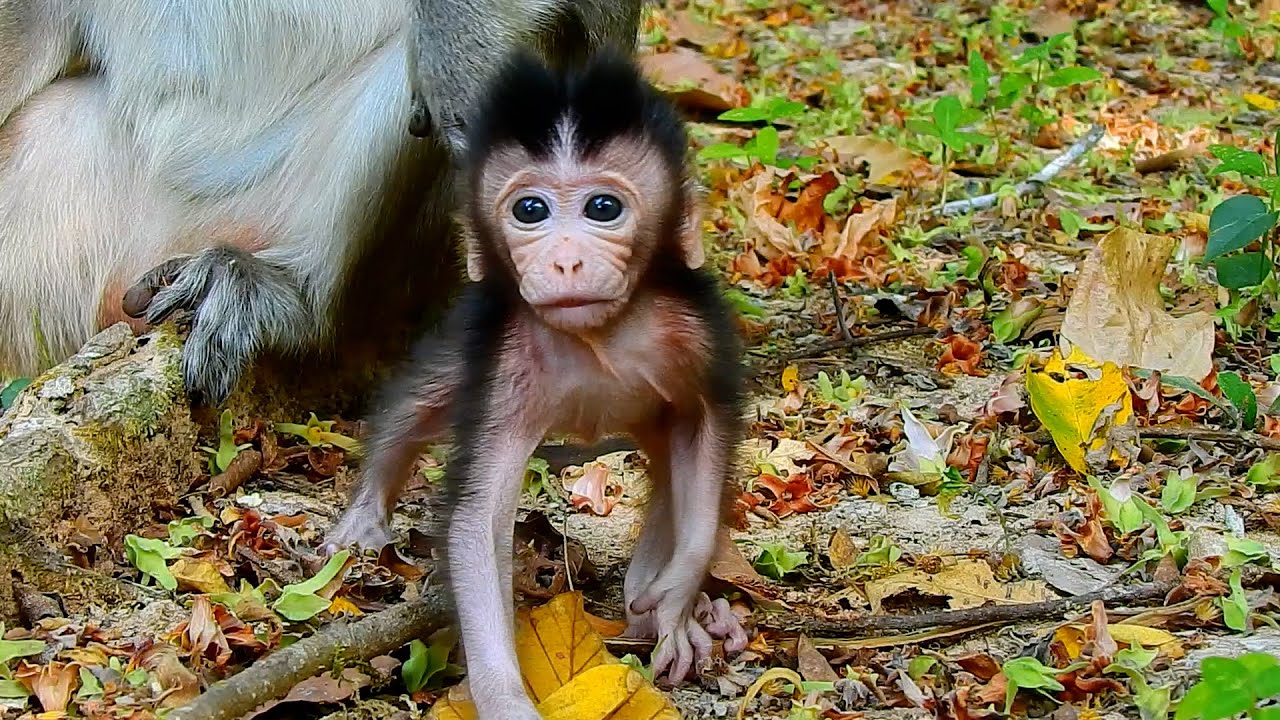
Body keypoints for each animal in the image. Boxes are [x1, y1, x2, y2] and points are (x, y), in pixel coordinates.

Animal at [324, 49, 750, 718]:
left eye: (603, 208)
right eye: (531, 211)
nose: (566, 261)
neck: (599, 337)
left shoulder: (694, 330)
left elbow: (704, 426)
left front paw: (680, 589)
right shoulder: (503, 358)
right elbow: (478, 521)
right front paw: (503, 695)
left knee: (668, 459)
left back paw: (669, 608)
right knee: (419, 405)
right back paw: (364, 518)